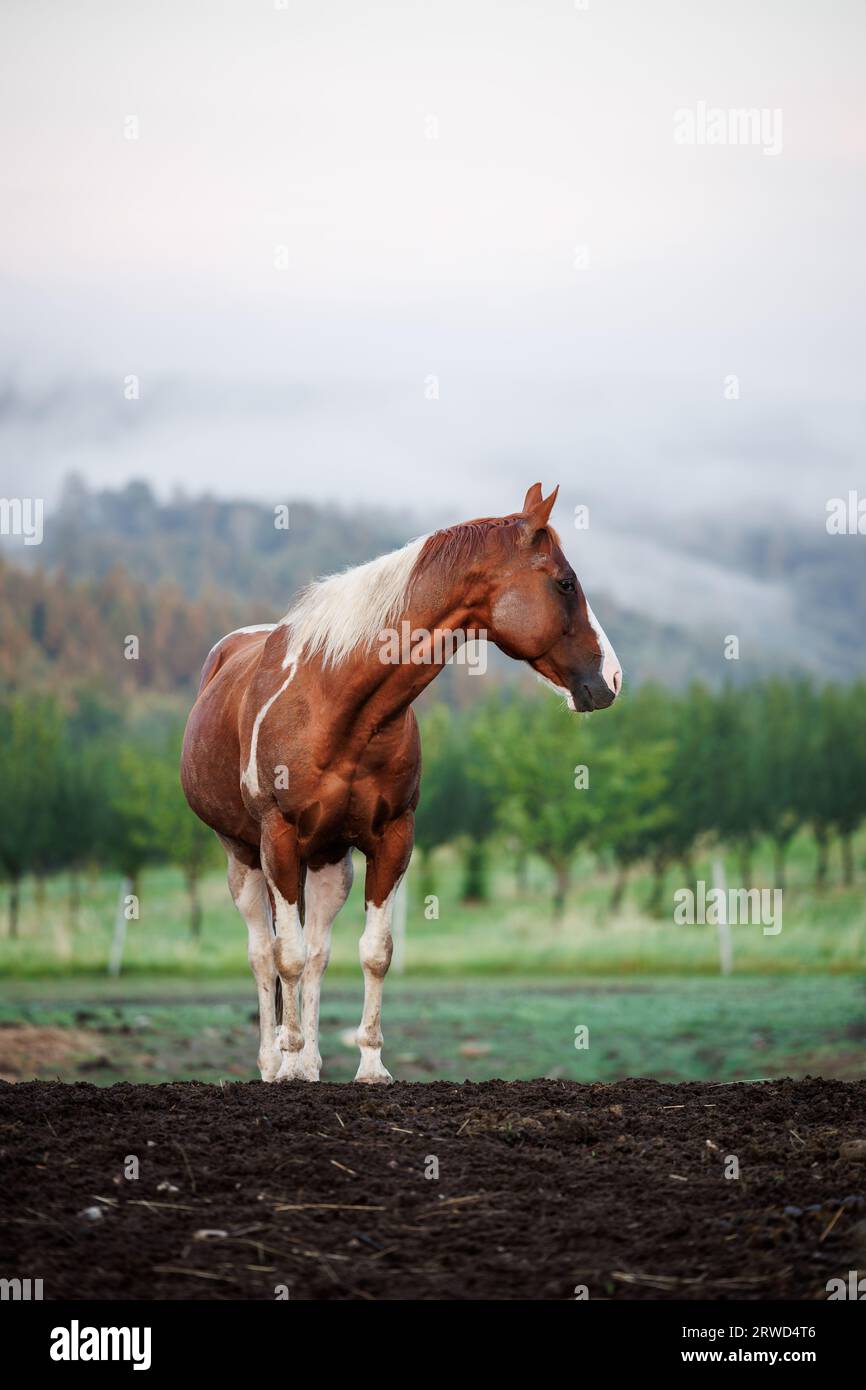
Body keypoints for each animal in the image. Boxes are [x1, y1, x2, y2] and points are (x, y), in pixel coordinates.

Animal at [180, 483, 621, 1083]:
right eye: (565, 582)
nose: (612, 678)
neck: (339, 702)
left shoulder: (392, 839)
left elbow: (373, 951)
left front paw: (370, 1065)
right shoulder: (278, 839)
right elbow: (283, 956)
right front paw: (291, 1066)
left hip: (329, 862)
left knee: (317, 951)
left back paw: (313, 1060)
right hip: (245, 856)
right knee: (263, 952)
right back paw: (277, 1062)